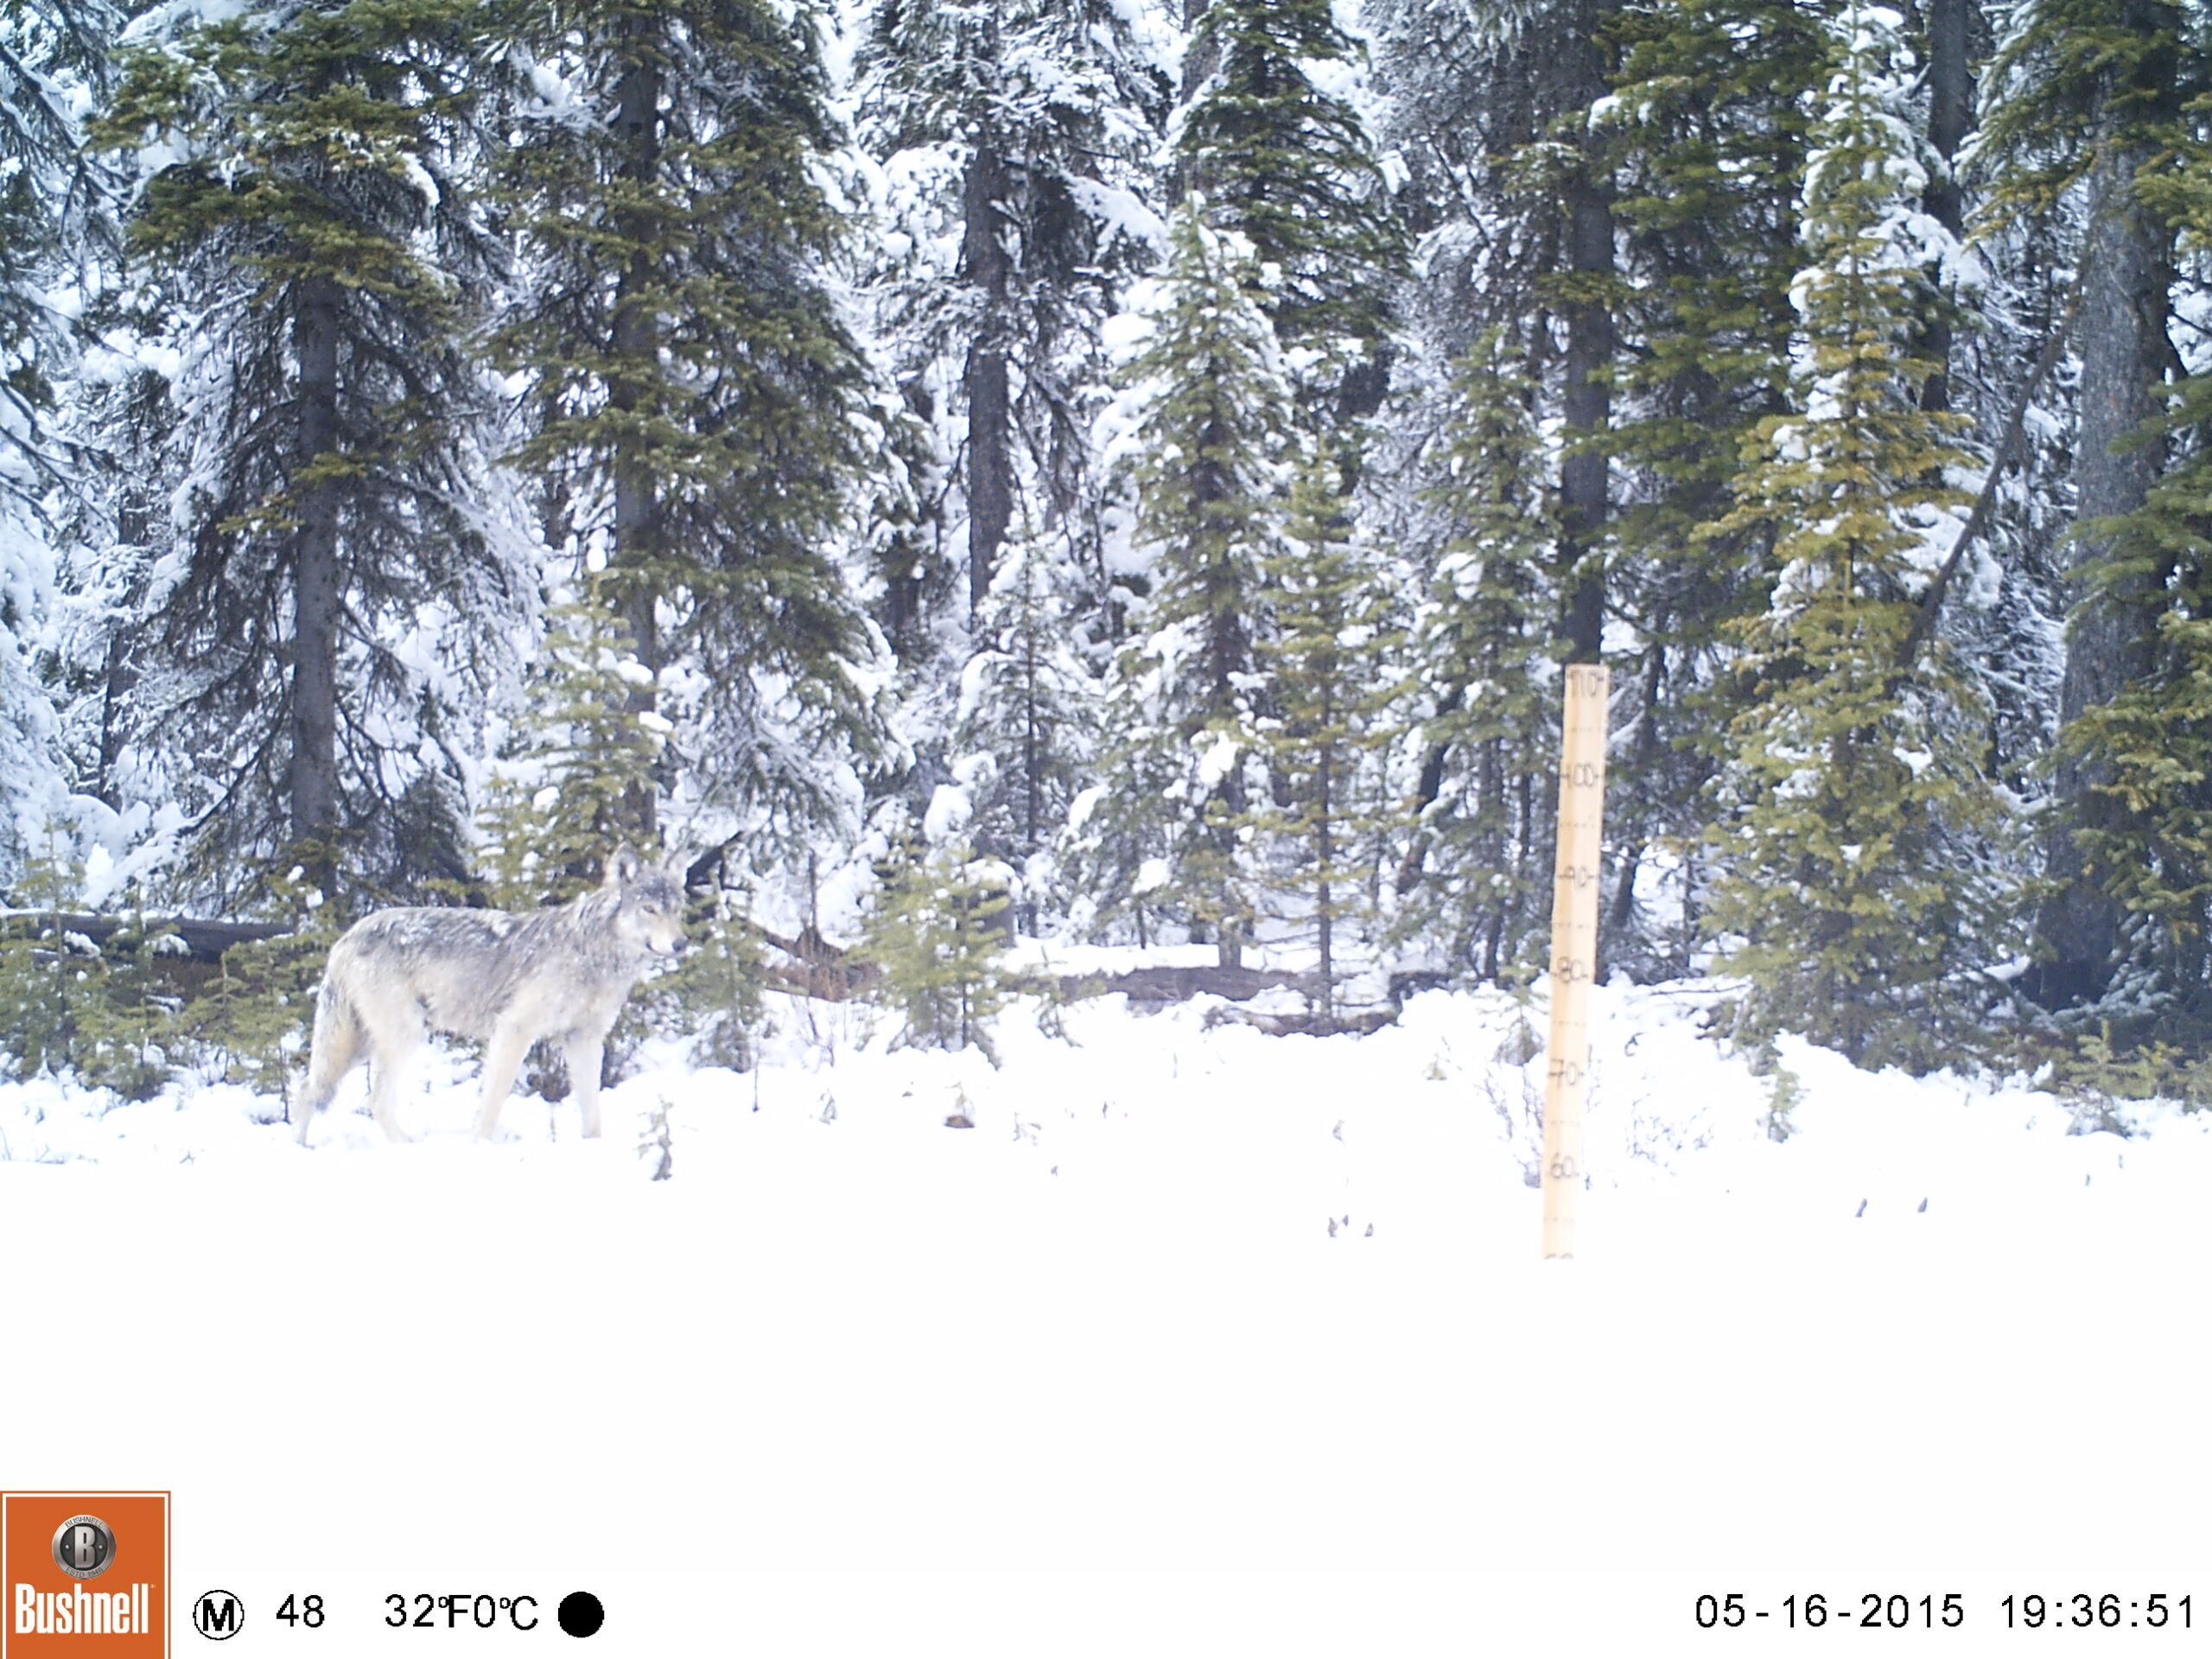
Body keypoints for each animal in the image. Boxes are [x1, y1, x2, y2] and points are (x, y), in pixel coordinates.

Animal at [292, 846, 690, 1147]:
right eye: (649, 909)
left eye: (675, 910)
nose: (681, 943)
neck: (592, 955)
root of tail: (346, 938)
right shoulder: (514, 1030)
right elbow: (493, 1098)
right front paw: (480, 1146)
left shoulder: (585, 1039)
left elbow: (591, 1112)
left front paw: (594, 1147)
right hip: (403, 1037)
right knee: (372, 1099)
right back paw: (405, 1146)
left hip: (361, 1045)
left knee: (308, 1088)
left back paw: (301, 1147)